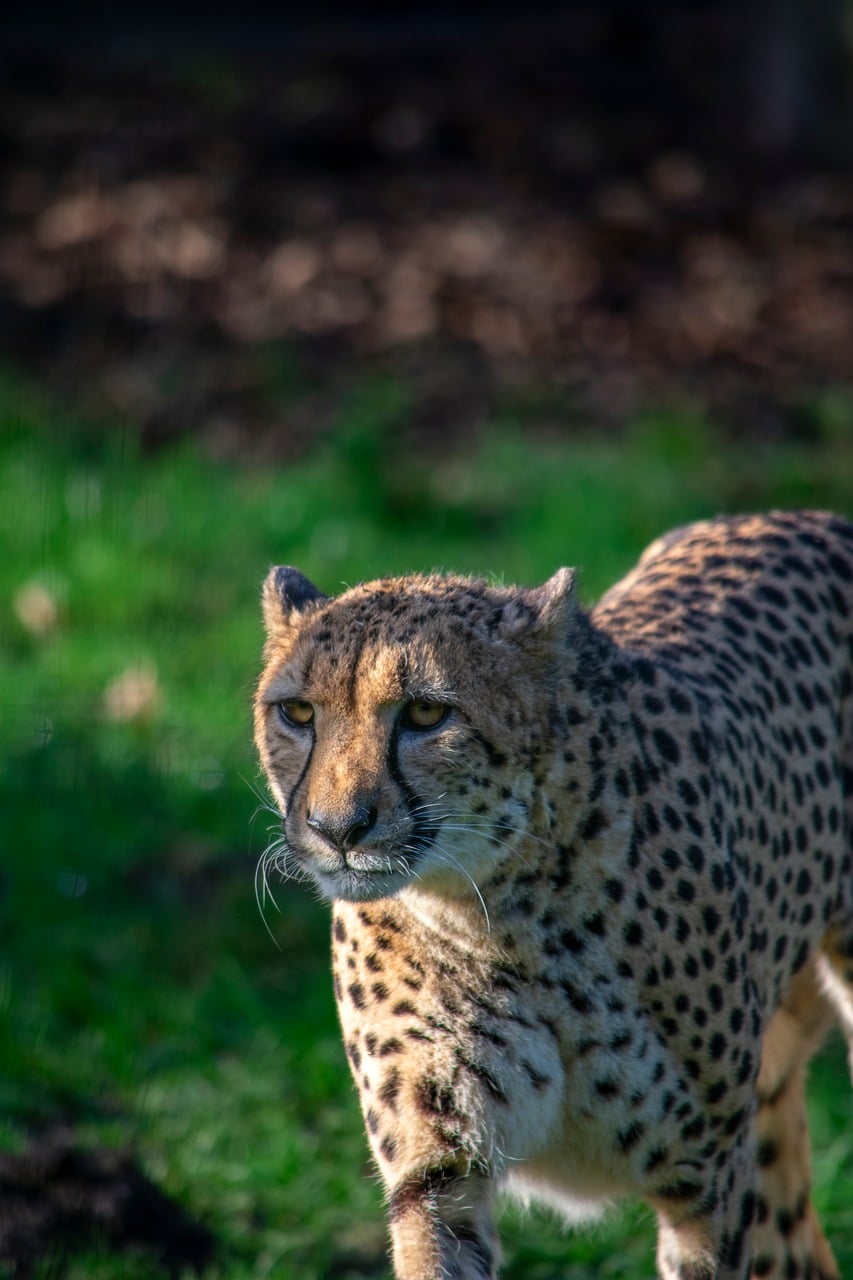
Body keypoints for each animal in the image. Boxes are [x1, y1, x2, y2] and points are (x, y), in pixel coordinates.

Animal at [253, 510, 853, 1280]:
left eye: (426, 713)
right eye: (297, 712)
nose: (337, 829)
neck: (494, 912)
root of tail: (793, 515)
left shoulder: (707, 1186)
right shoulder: (437, 1169)